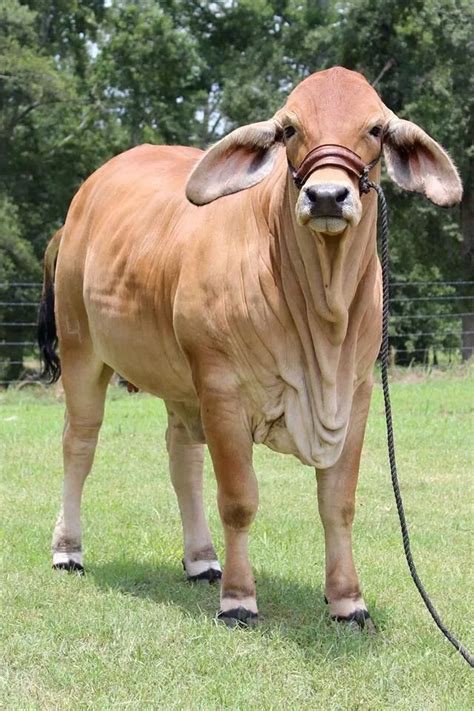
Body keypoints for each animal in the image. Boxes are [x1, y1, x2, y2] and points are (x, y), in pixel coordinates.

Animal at [38, 67, 462, 630]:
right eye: (289, 129)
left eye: (374, 128)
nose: (327, 196)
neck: (320, 318)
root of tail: (78, 208)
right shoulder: (222, 390)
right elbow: (239, 500)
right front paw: (239, 600)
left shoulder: (357, 392)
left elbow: (338, 502)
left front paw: (348, 601)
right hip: (83, 351)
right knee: (79, 446)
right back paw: (68, 550)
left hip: (180, 383)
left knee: (182, 459)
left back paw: (201, 560)